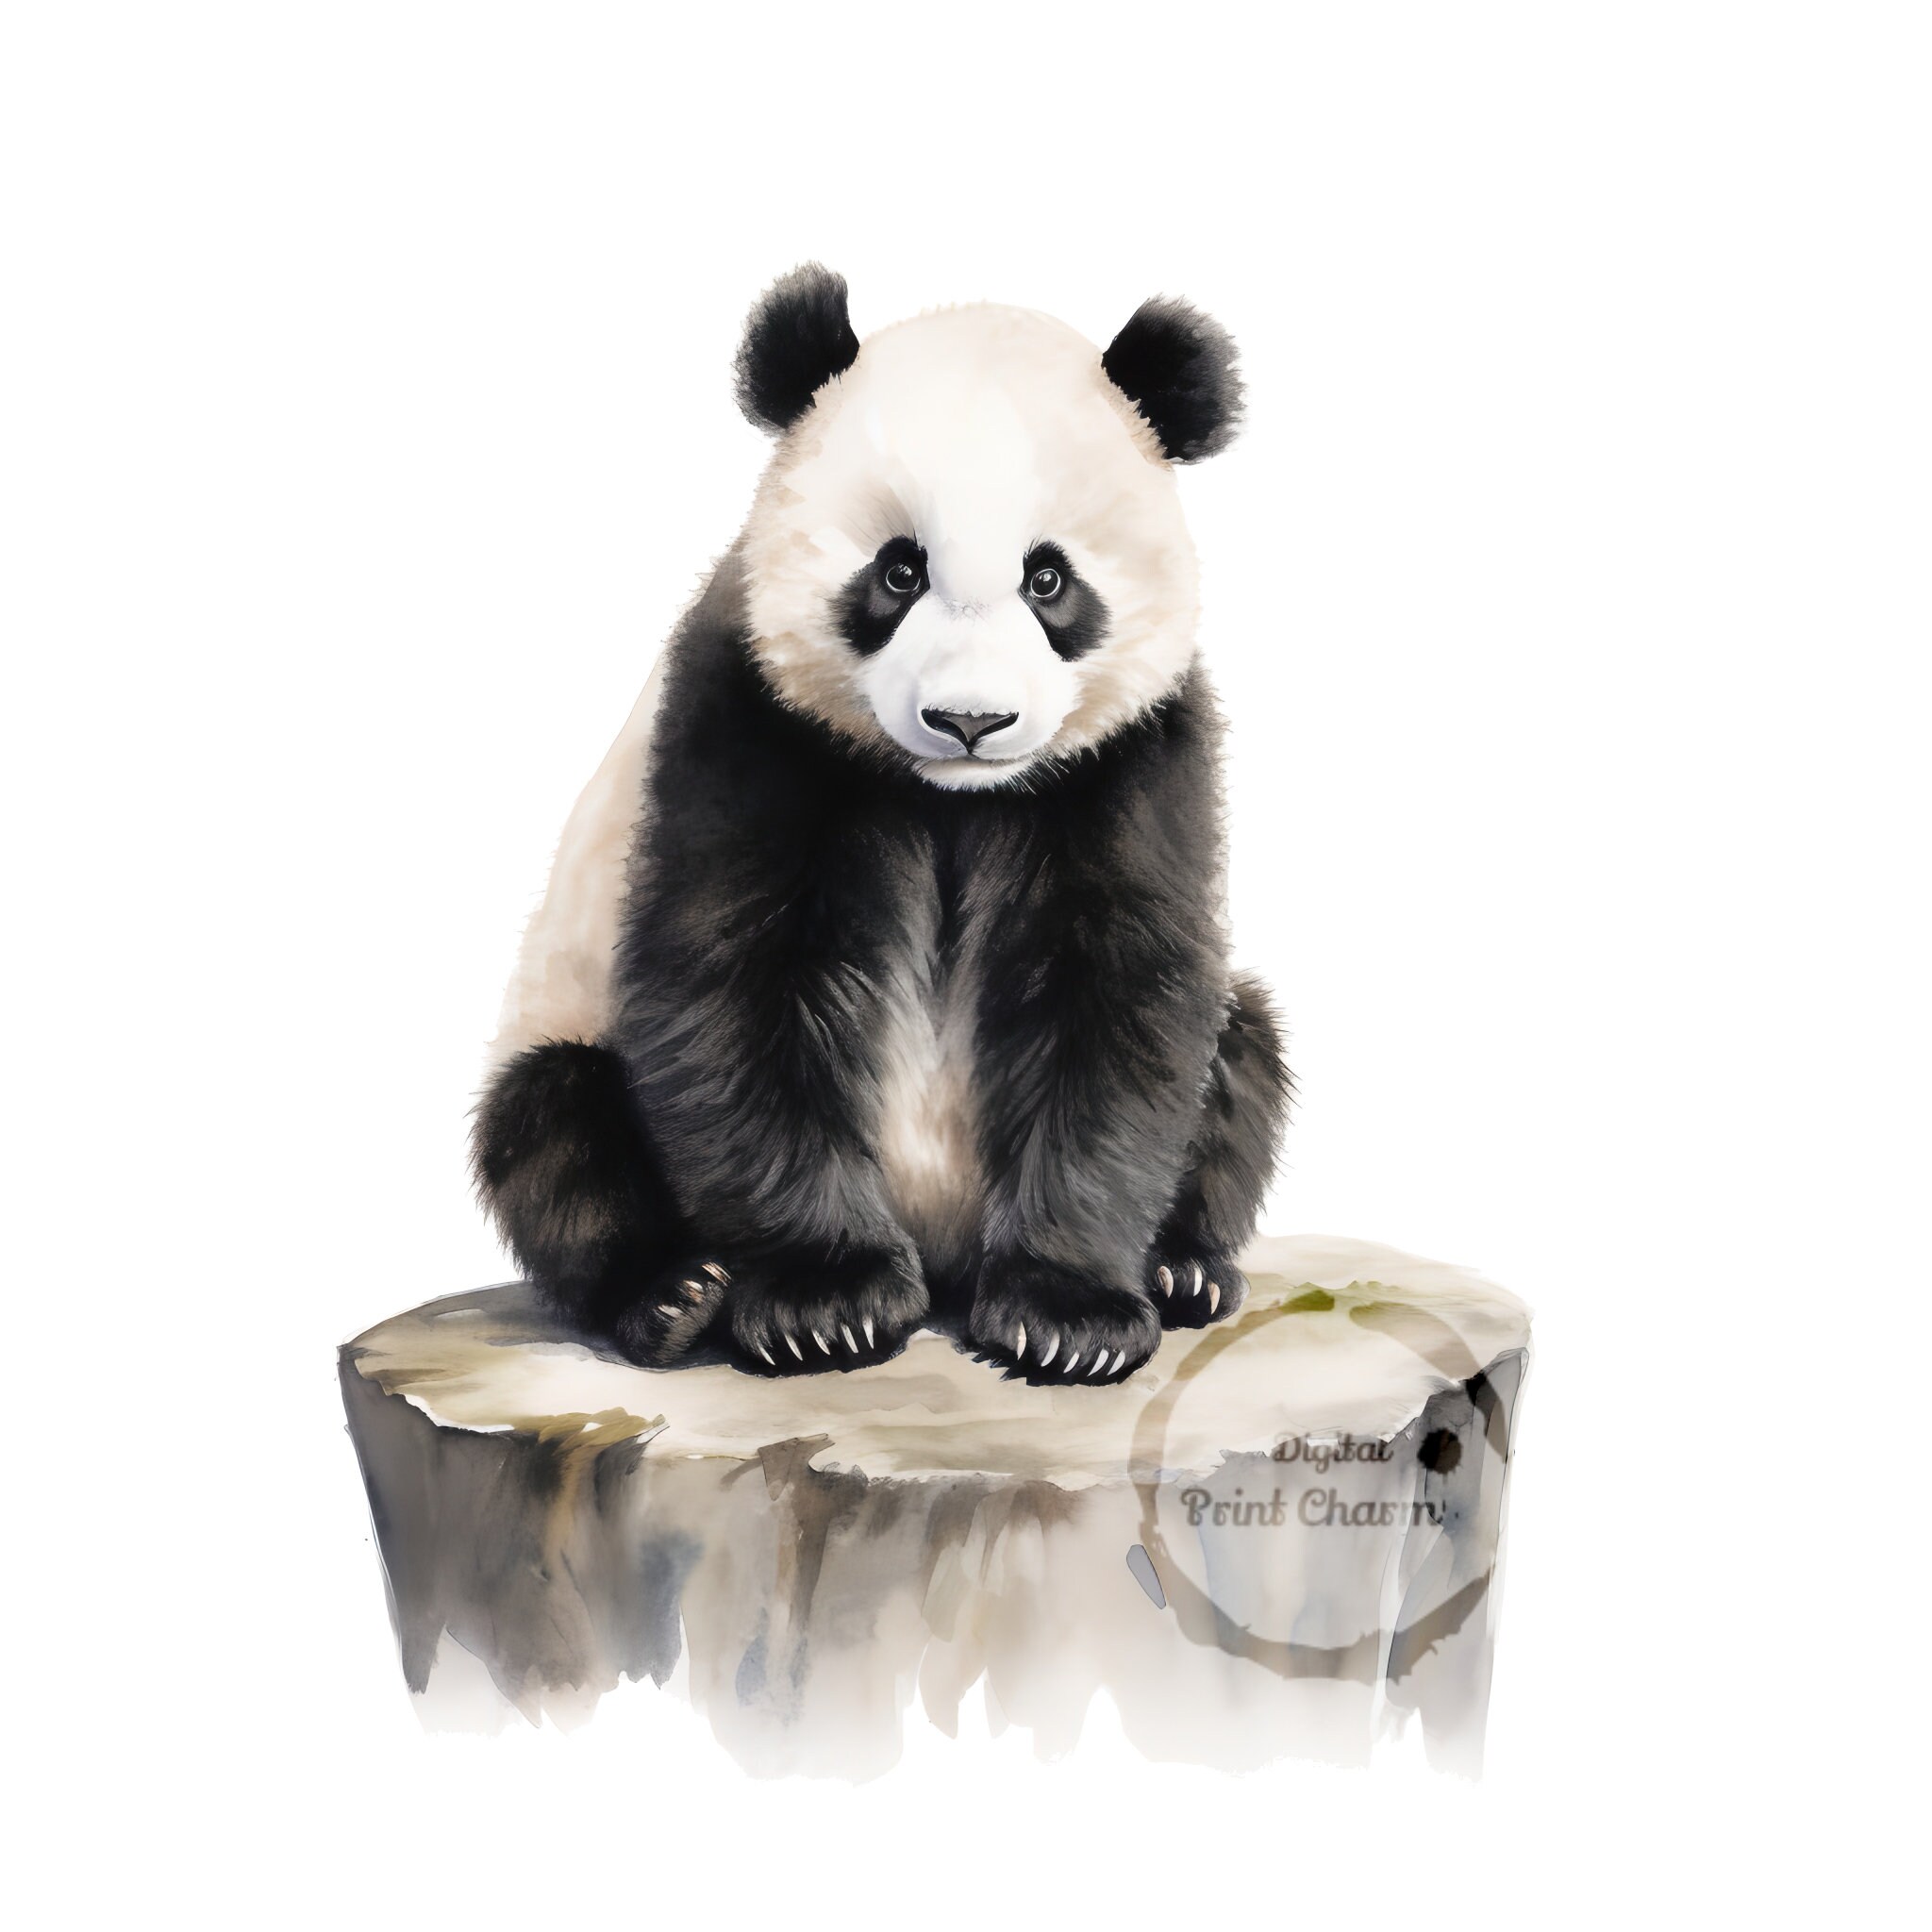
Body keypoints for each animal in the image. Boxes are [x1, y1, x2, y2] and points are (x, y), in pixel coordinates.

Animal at [473, 266, 1290, 1385]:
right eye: (899, 573)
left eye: (1048, 579)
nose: (968, 721)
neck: (946, 794)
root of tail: (944, 1253)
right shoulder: (748, 717)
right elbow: (736, 982)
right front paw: (825, 1304)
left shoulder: (1131, 755)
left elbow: (1115, 991)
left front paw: (1068, 1315)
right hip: (566, 1018)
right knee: (551, 1122)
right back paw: (674, 1296)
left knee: (1243, 1046)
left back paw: (1187, 1272)